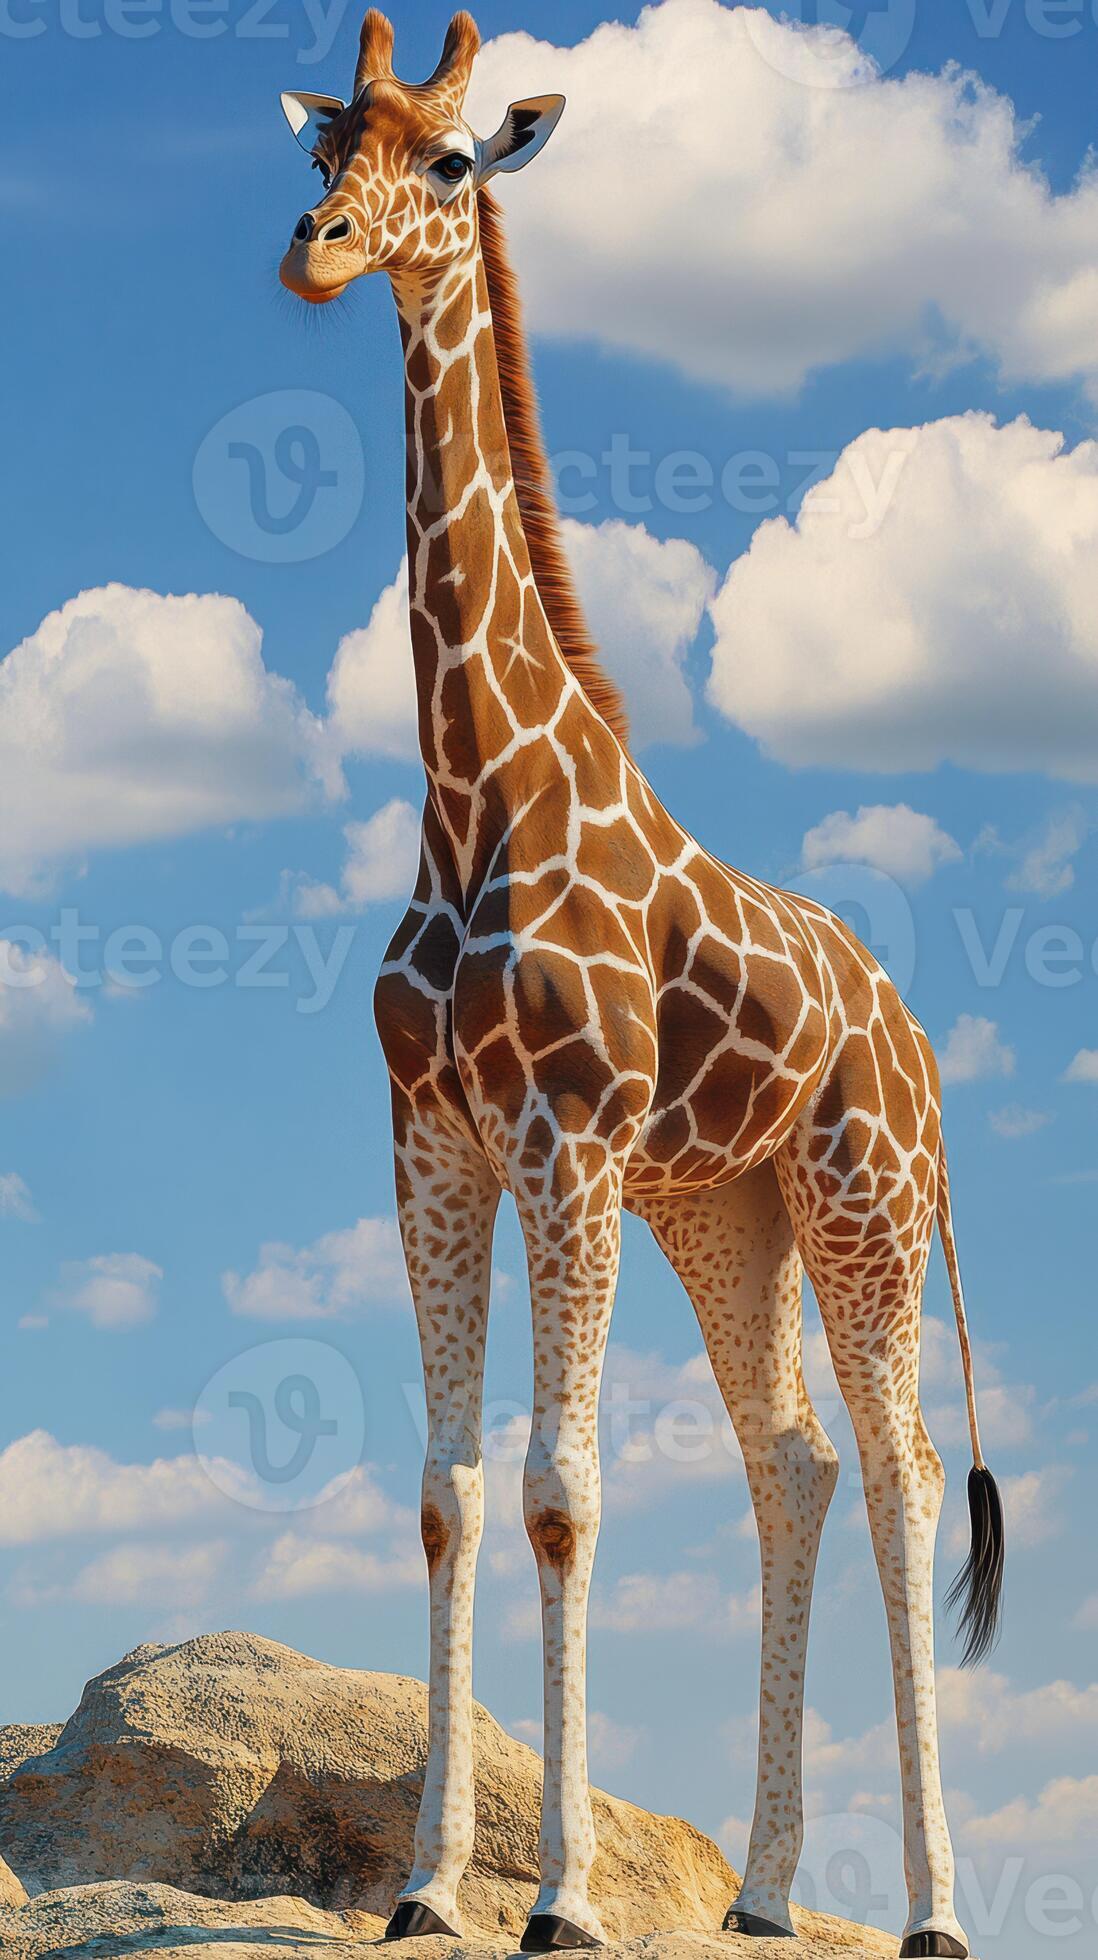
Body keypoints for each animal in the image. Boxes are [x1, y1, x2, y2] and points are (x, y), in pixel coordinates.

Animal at [278, 15, 1004, 1958]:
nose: (315, 248)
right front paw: (428, 1887)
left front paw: (559, 1901)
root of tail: (916, 1039)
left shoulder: (566, 1137)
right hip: (724, 1207)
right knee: (792, 1460)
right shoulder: (434, 1139)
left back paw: (930, 1908)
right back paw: (757, 1892)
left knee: (902, 1471)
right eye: (332, 140)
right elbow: (450, 1493)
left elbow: (561, 1491)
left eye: (451, 160)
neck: (473, 791)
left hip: (856, 1195)